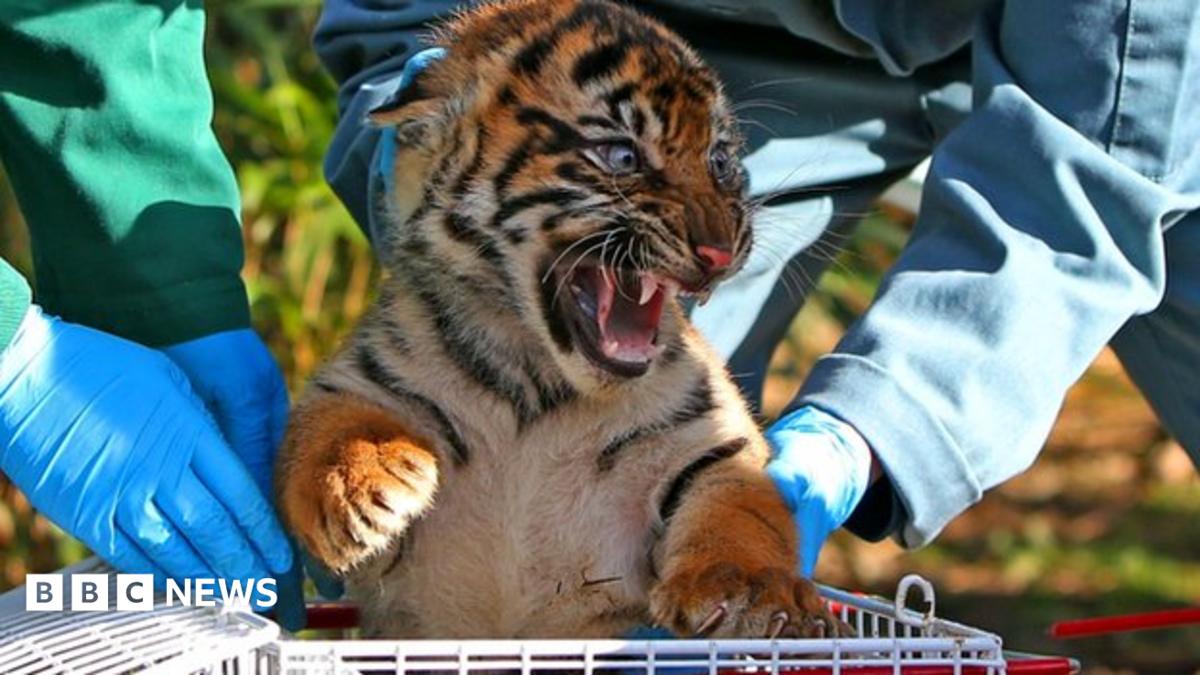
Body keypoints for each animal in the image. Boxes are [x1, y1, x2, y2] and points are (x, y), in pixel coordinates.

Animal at [276, 0, 846, 640]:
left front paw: (756, 594)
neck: (539, 388)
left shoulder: (710, 436)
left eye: (720, 161)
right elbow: (329, 427)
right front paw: (358, 490)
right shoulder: (357, 377)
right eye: (623, 157)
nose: (720, 251)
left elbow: (744, 506)